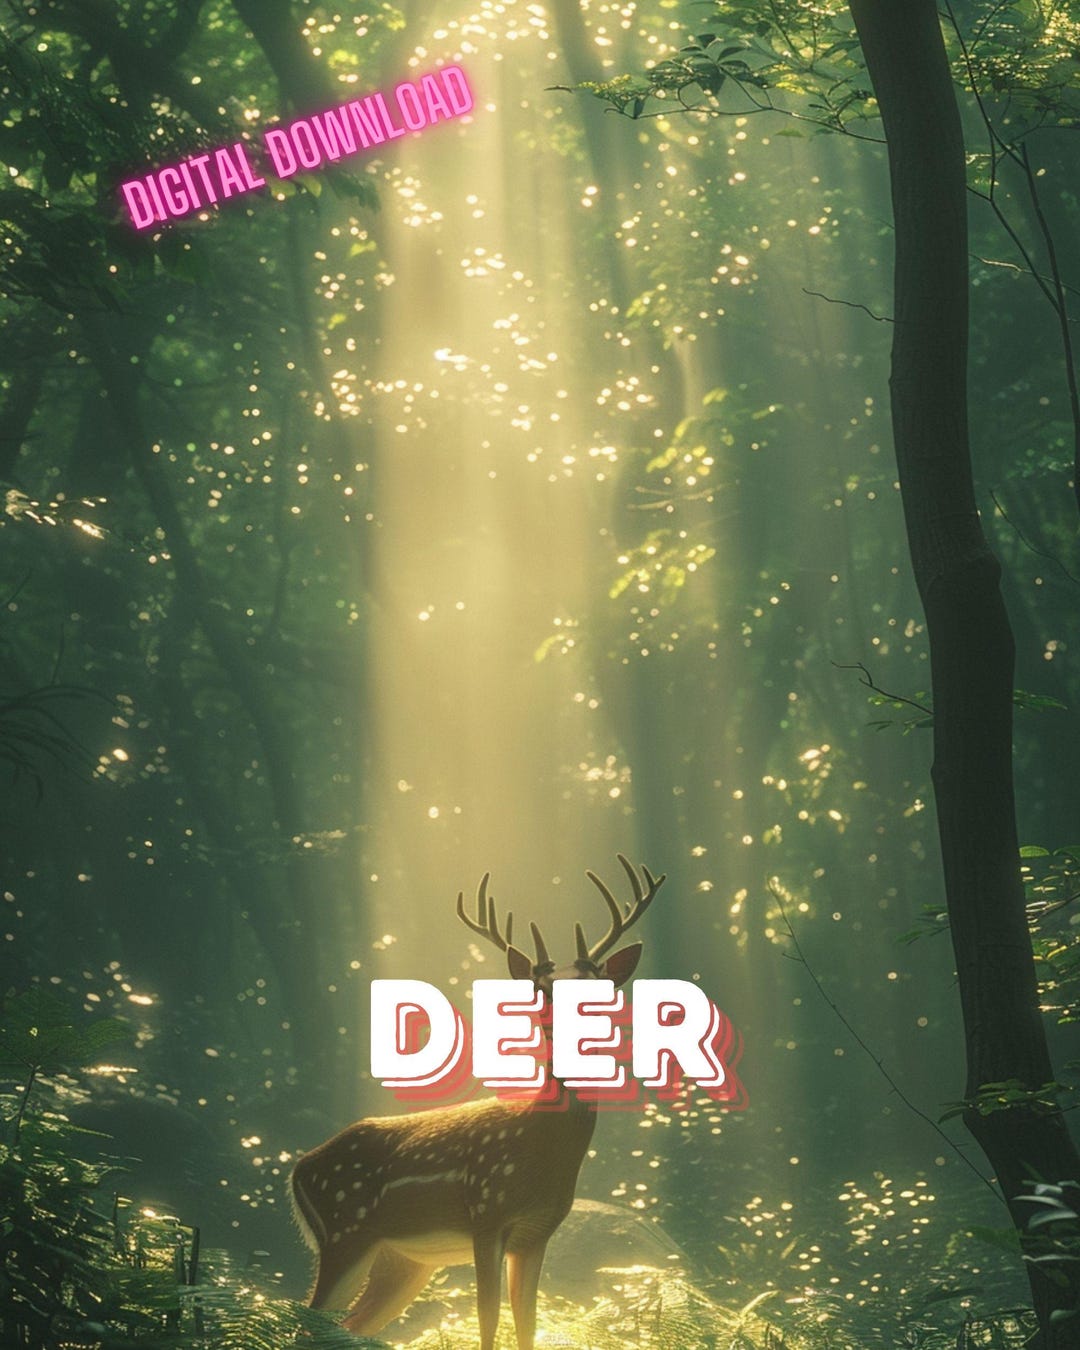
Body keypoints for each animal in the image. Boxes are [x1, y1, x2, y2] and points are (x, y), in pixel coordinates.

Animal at [291, 854, 666, 1349]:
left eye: (599, 987)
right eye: (539, 988)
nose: (558, 1020)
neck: (542, 1149)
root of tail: (297, 1170)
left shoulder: (537, 1232)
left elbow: (527, 1325)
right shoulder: (487, 1214)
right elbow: (488, 1320)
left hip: (403, 1260)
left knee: (345, 1327)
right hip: (343, 1231)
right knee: (305, 1323)